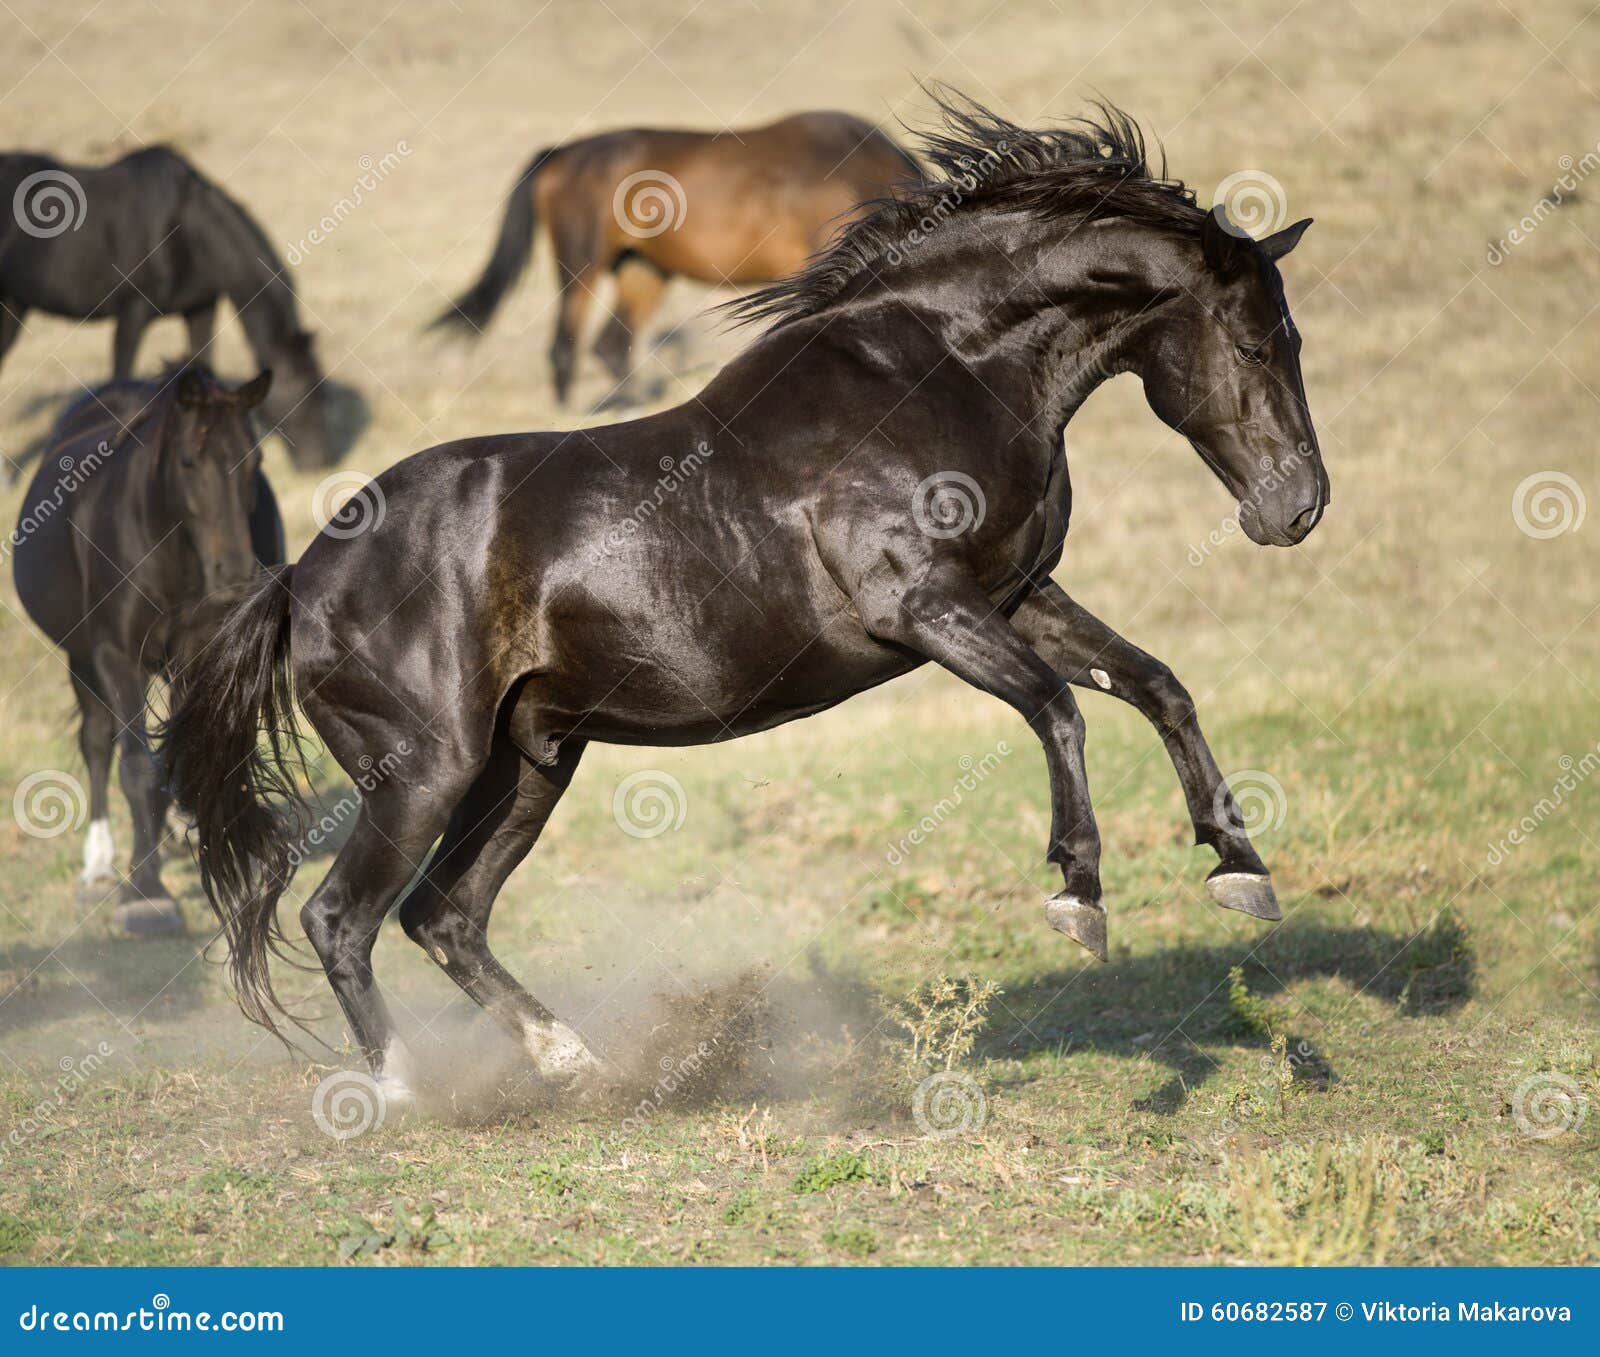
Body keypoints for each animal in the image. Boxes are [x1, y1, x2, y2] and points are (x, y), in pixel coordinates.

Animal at [0, 147, 333, 467]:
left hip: (14, 305)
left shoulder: (200, 308)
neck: (188, 232)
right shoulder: (133, 313)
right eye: (296, 387)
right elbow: (120, 377)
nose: (317, 462)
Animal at [13, 364, 284, 936]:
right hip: (82, 660)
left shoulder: (204, 649)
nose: (234, 573)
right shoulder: (116, 657)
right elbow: (136, 768)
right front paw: (146, 893)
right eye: (188, 462)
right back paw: (99, 866)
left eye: (256, 461)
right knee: (97, 741)